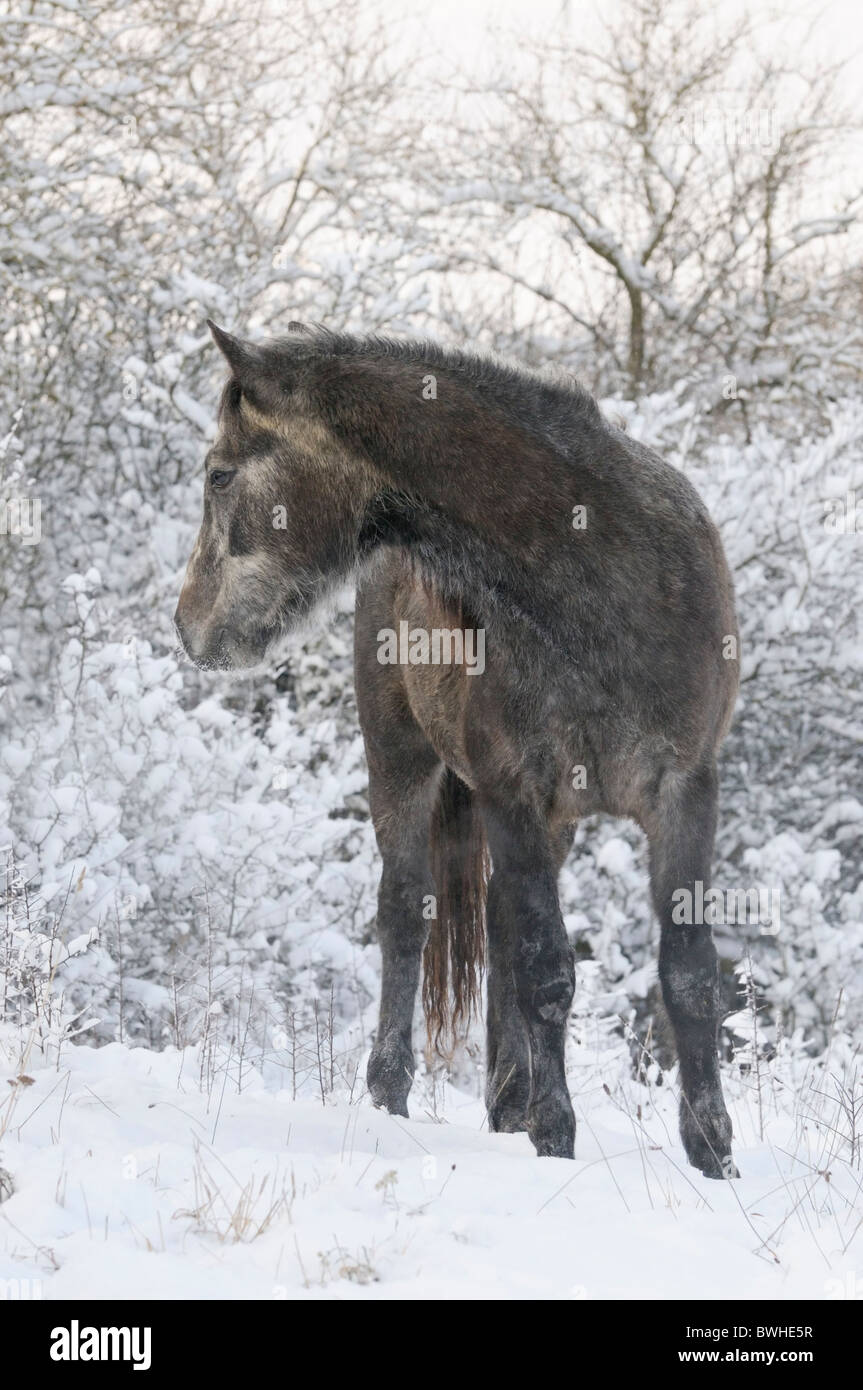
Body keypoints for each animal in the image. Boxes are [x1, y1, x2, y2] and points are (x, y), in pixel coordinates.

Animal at [174, 319, 740, 1176]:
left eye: (219, 475)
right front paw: (557, 1139)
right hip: (401, 768)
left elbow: (688, 972)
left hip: (552, 821)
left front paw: (712, 1156)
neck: (597, 571)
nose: (188, 624)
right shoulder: (513, 789)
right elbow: (546, 970)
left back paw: (507, 1104)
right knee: (406, 917)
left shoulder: (684, 789)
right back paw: (395, 1094)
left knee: (499, 930)